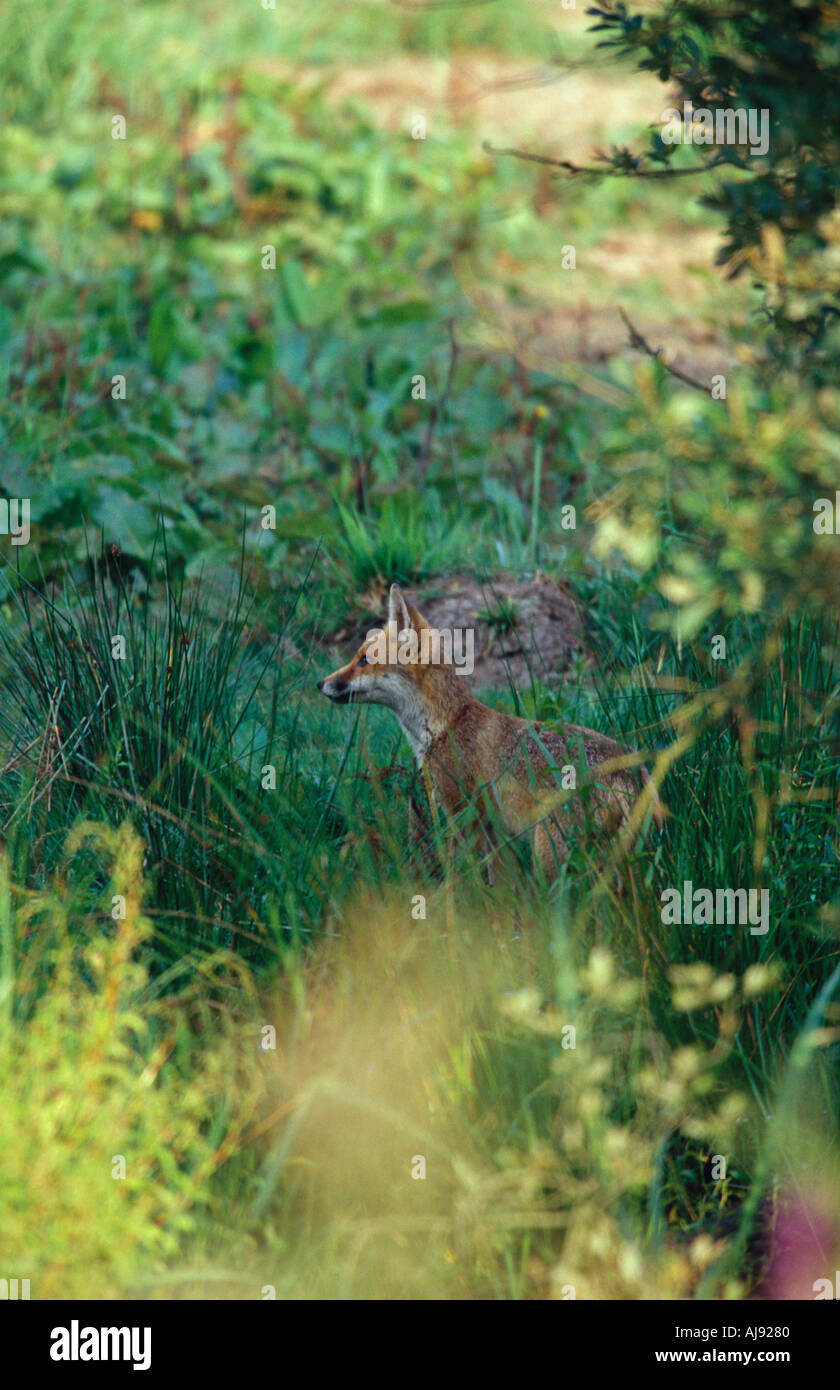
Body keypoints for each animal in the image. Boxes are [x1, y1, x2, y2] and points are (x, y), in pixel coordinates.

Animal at [317, 585, 662, 882]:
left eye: (363, 660)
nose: (320, 683)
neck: (448, 726)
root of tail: (634, 774)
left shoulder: (464, 816)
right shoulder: (495, 832)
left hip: (549, 858)